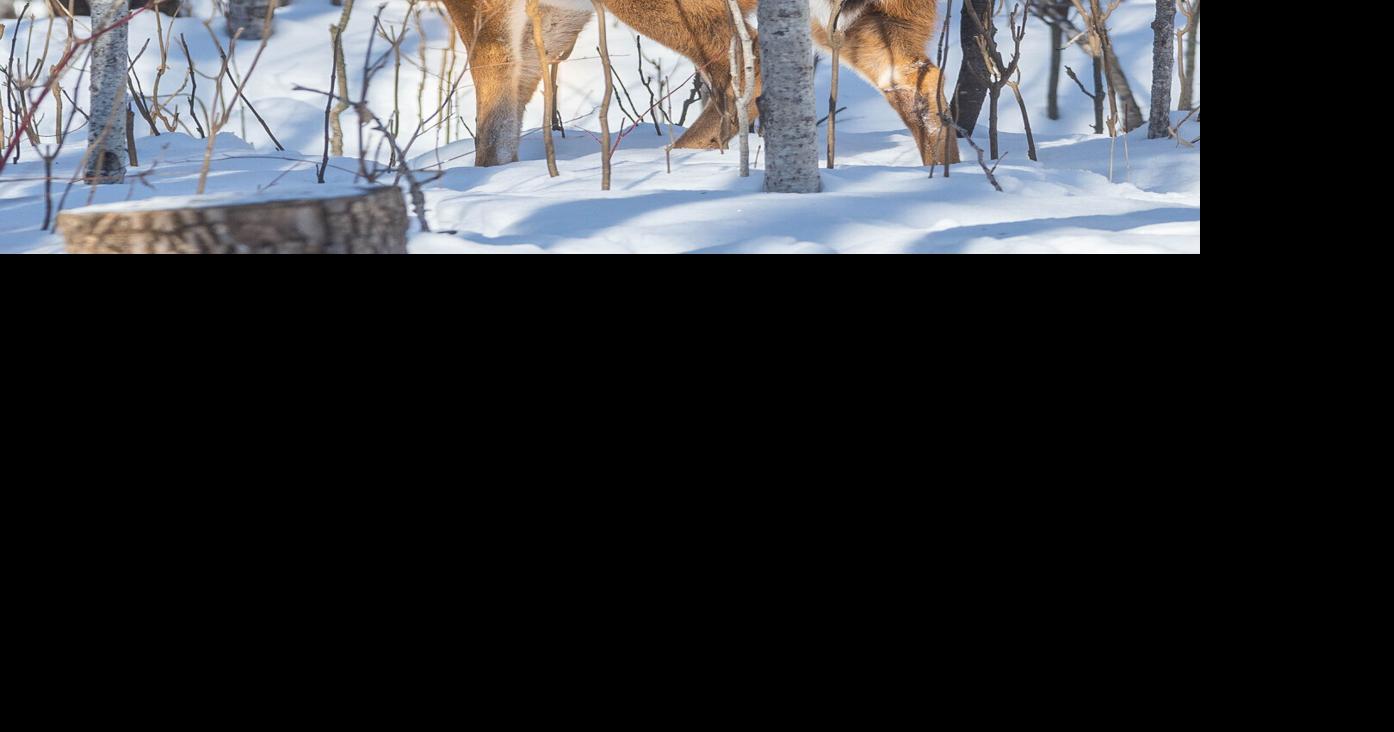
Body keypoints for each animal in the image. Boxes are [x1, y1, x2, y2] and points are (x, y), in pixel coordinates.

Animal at [440, 0, 960, 168]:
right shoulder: (553, 21)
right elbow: (503, 122)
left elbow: (492, 112)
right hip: (854, 24)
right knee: (919, 79)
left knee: (746, 65)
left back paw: (681, 156)